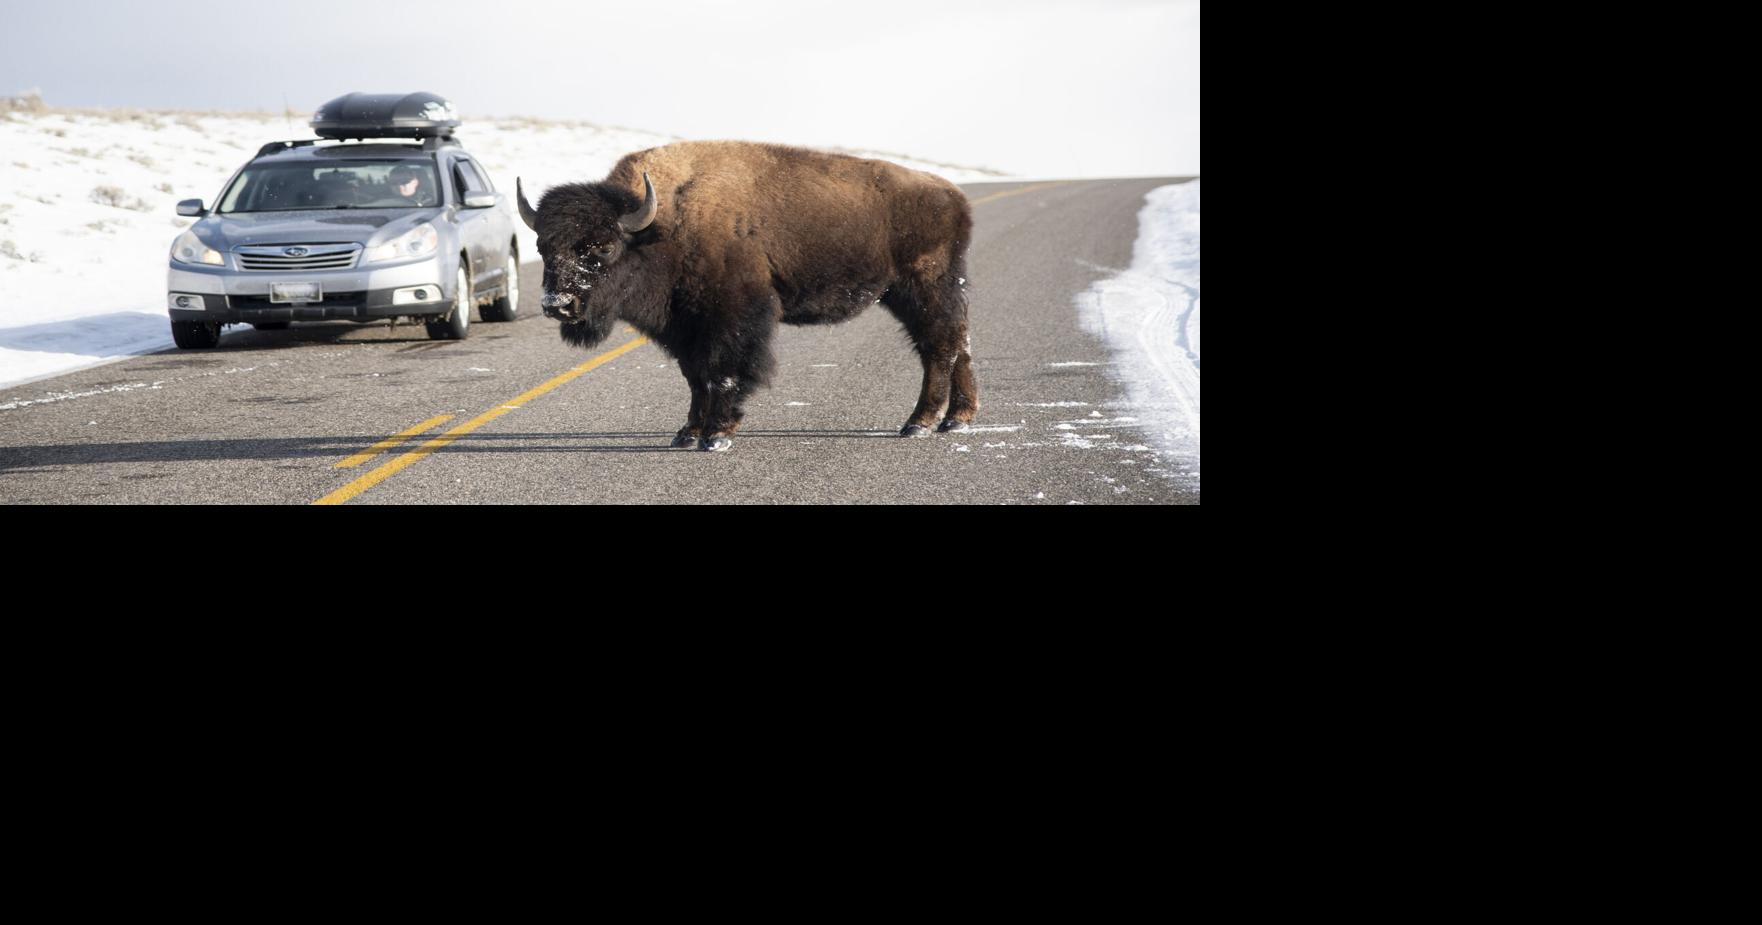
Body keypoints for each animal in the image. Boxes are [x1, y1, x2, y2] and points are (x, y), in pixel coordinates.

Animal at [518, 141, 977, 452]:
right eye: (542, 247)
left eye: (603, 247)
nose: (557, 305)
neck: (662, 225)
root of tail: (955, 197)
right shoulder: (685, 329)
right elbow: (695, 377)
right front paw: (687, 433)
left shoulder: (731, 318)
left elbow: (722, 372)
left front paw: (718, 434)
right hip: (926, 293)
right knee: (959, 343)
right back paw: (957, 420)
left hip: (922, 289)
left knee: (939, 348)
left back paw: (918, 423)